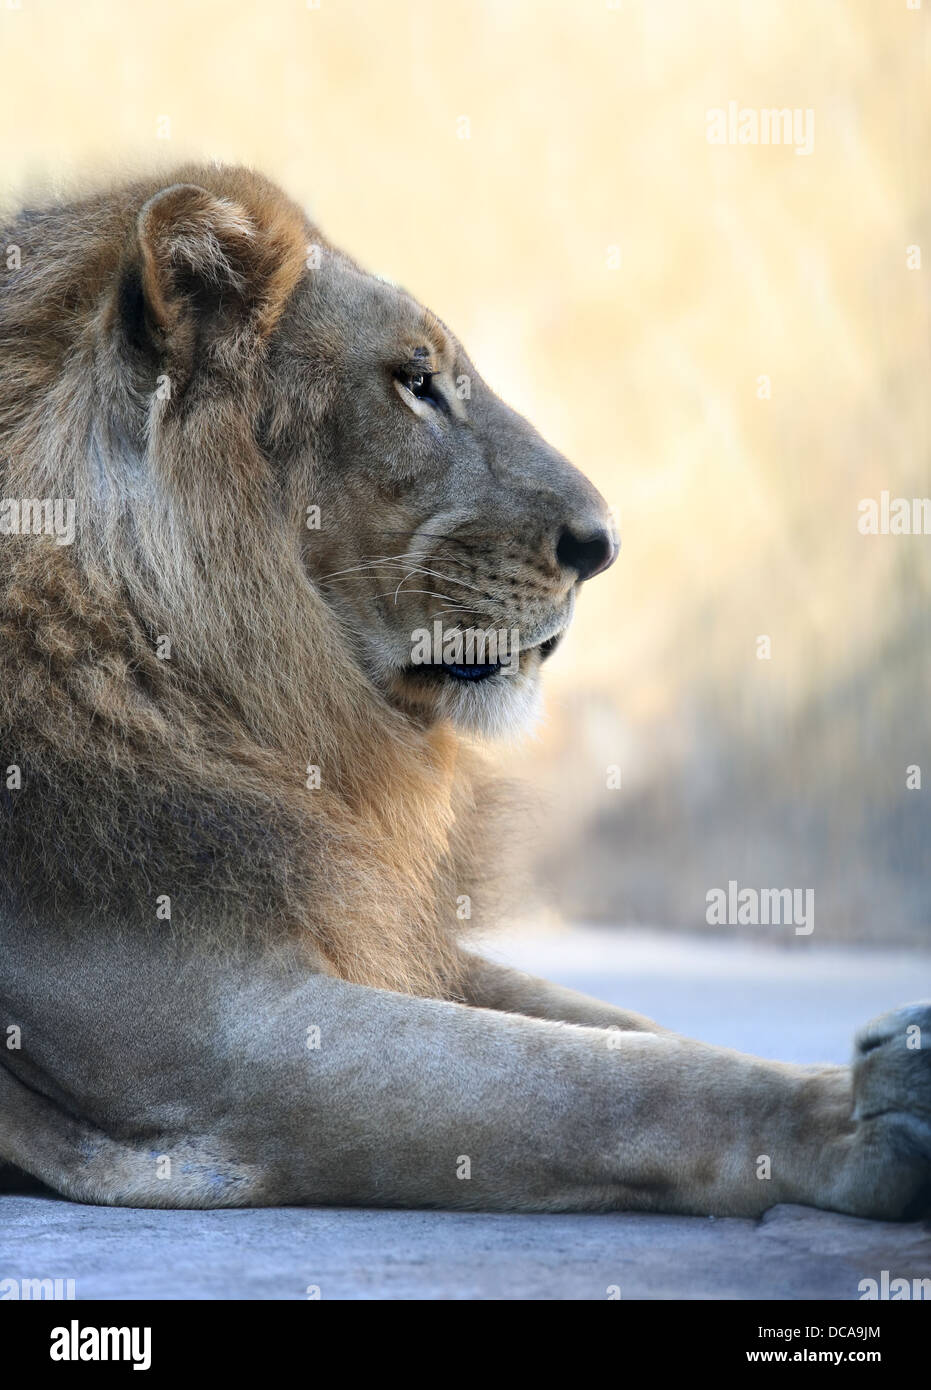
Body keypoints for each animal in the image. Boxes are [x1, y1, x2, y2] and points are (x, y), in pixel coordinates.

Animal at [0, 165, 927, 1218]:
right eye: (416, 382)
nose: (603, 546)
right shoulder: (217, 1039)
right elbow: (599, 1080)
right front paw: (862, 1116)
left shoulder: (366, 929)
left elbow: (616, 1024)